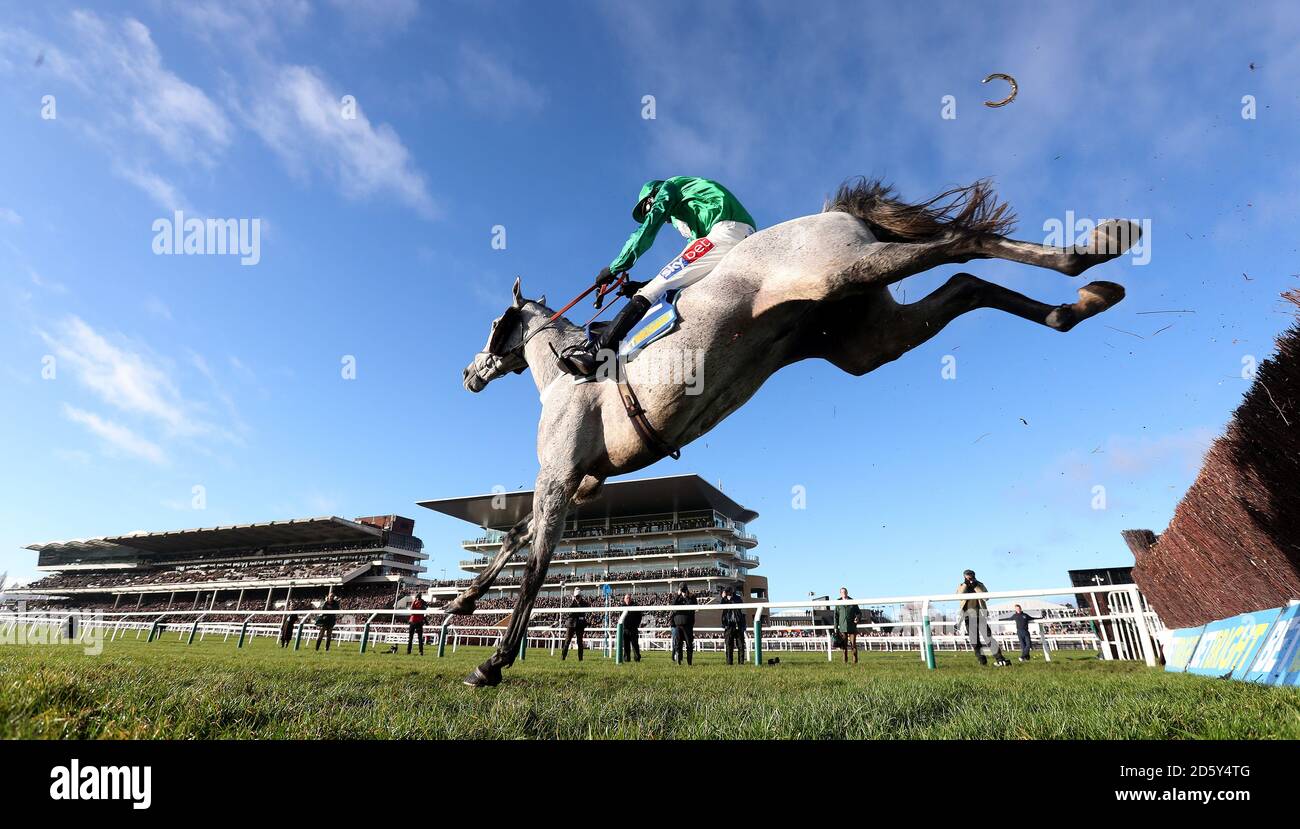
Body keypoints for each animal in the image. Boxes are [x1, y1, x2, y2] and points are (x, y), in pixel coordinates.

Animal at [452, 177, 1139, 687]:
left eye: (494, 326)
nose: (469, 373)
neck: (564, 379)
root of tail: (830, 215)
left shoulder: (560, 474)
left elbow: (537, 561)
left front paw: (493, 661)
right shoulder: (584, 482)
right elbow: (515, 536)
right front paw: (461, 603)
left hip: (843, 272)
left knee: (960, 241)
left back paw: (1094, 247)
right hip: (867, 338)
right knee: (964, 283)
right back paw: (1079, 300)